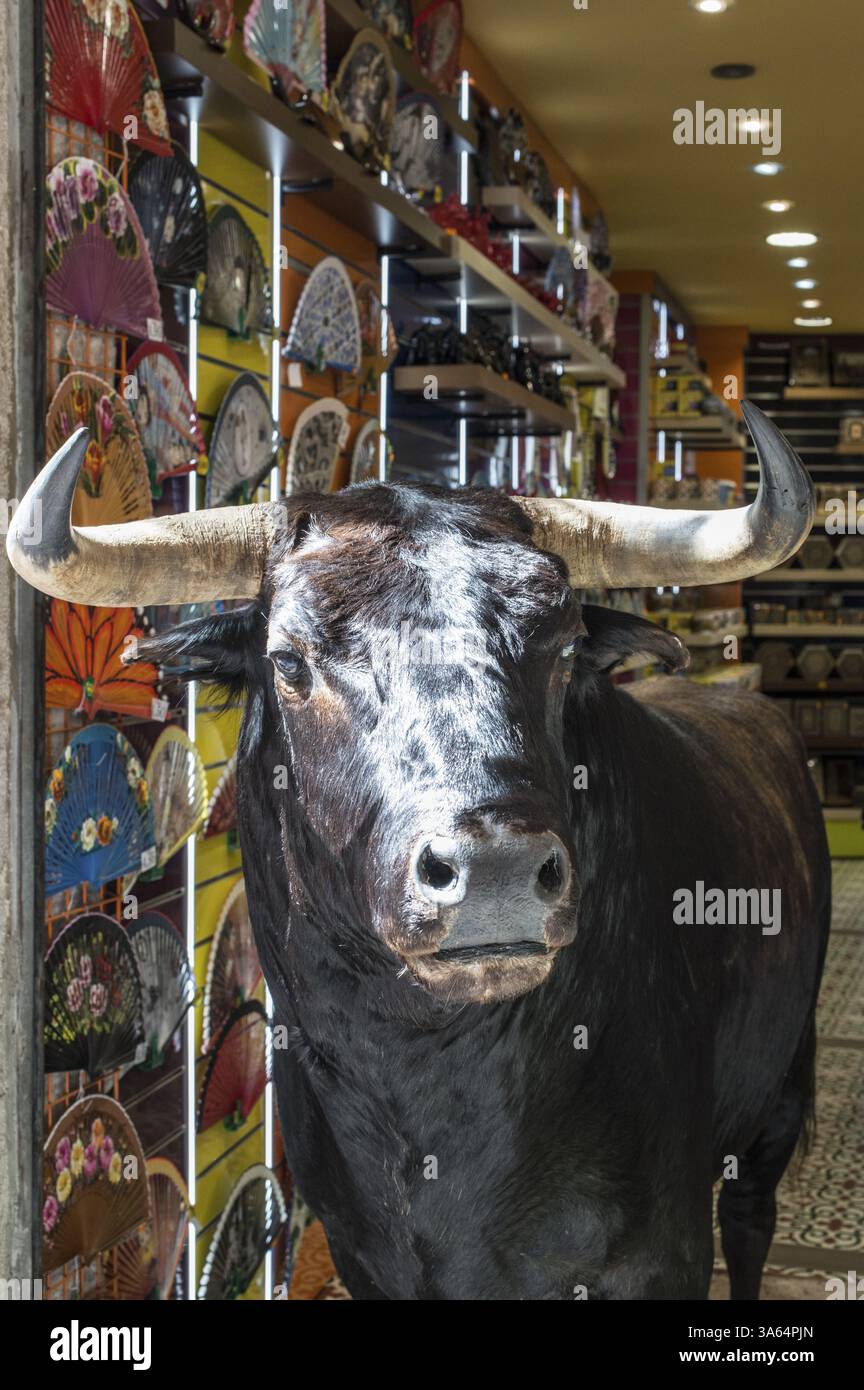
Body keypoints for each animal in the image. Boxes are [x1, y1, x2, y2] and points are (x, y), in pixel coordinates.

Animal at [8, 402, 830, 1301]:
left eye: (566, 647)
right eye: (290, 661)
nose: (496, 871)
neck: (422, 1091)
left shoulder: (662, 1258)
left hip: (782, 1095)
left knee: (750, 1223)